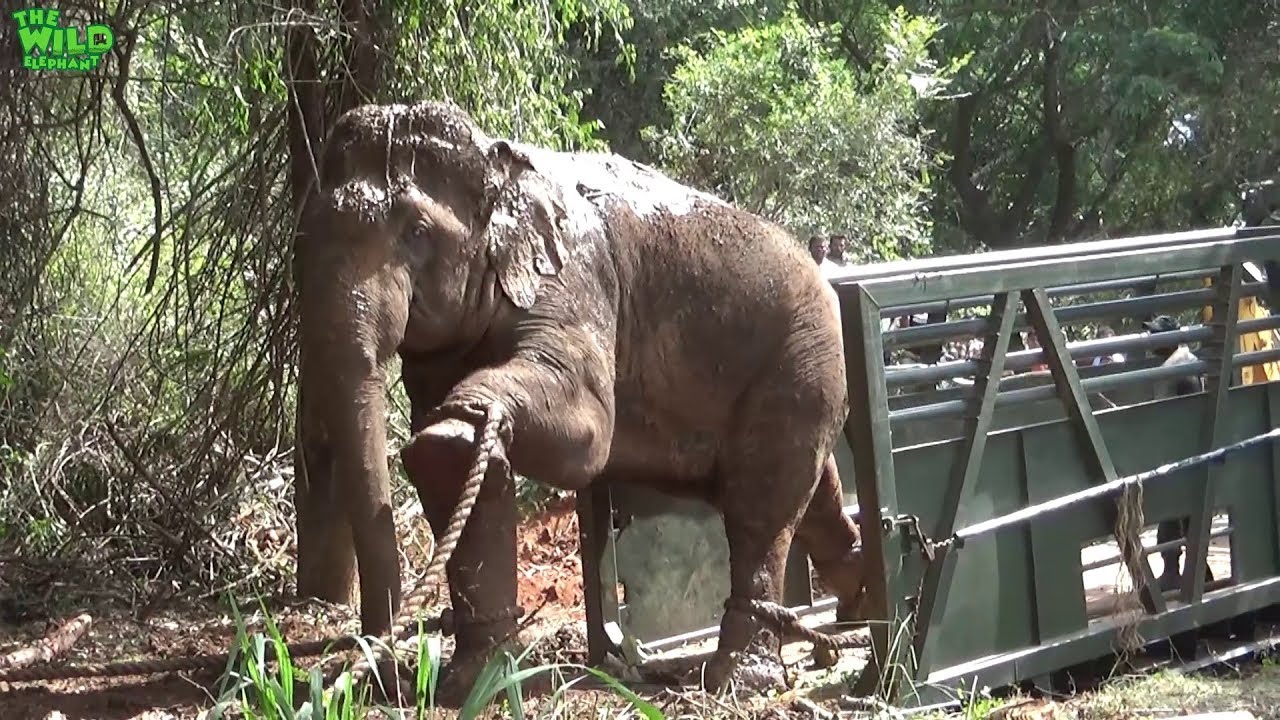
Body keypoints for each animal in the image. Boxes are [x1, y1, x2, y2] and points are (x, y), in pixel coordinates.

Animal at [294, 100, 866, 696]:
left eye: (417, 231)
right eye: (299, 238)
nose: (384, 681)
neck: (499, 163)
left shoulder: (579, 274)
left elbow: (587, 423)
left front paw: (458, 421)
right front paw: (478, 683)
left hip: (802, 355)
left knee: (761, 503)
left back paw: (738, 677)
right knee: (804, 490)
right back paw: (857, 602)